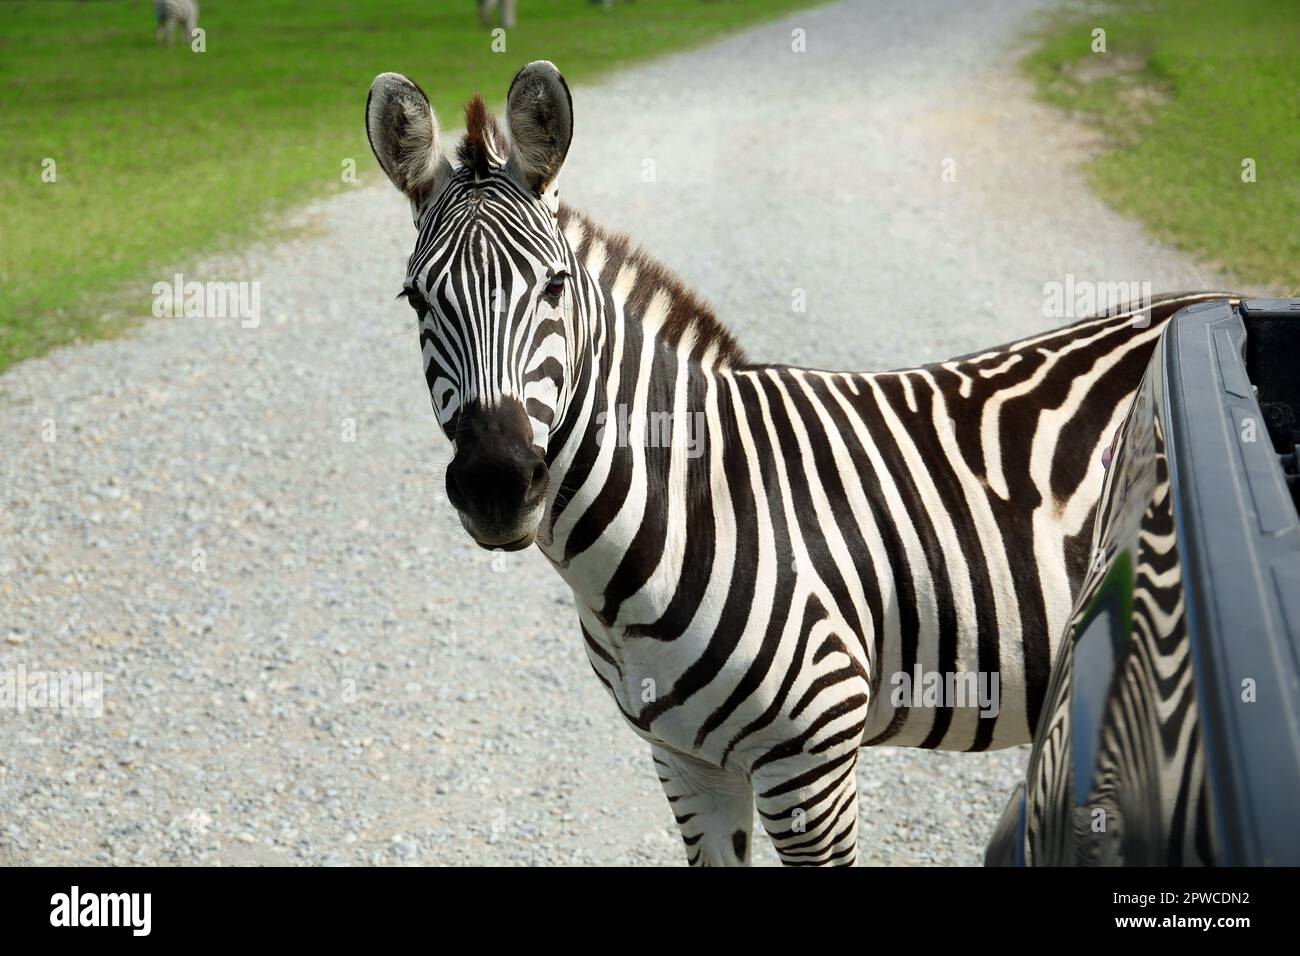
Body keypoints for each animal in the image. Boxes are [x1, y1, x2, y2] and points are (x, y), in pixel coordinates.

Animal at [364, 61, 1233, 866]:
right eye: (415, 299)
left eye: (553, 286)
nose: (497, 484)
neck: (684, 510)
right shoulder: (686, 766)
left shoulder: (810, 766)